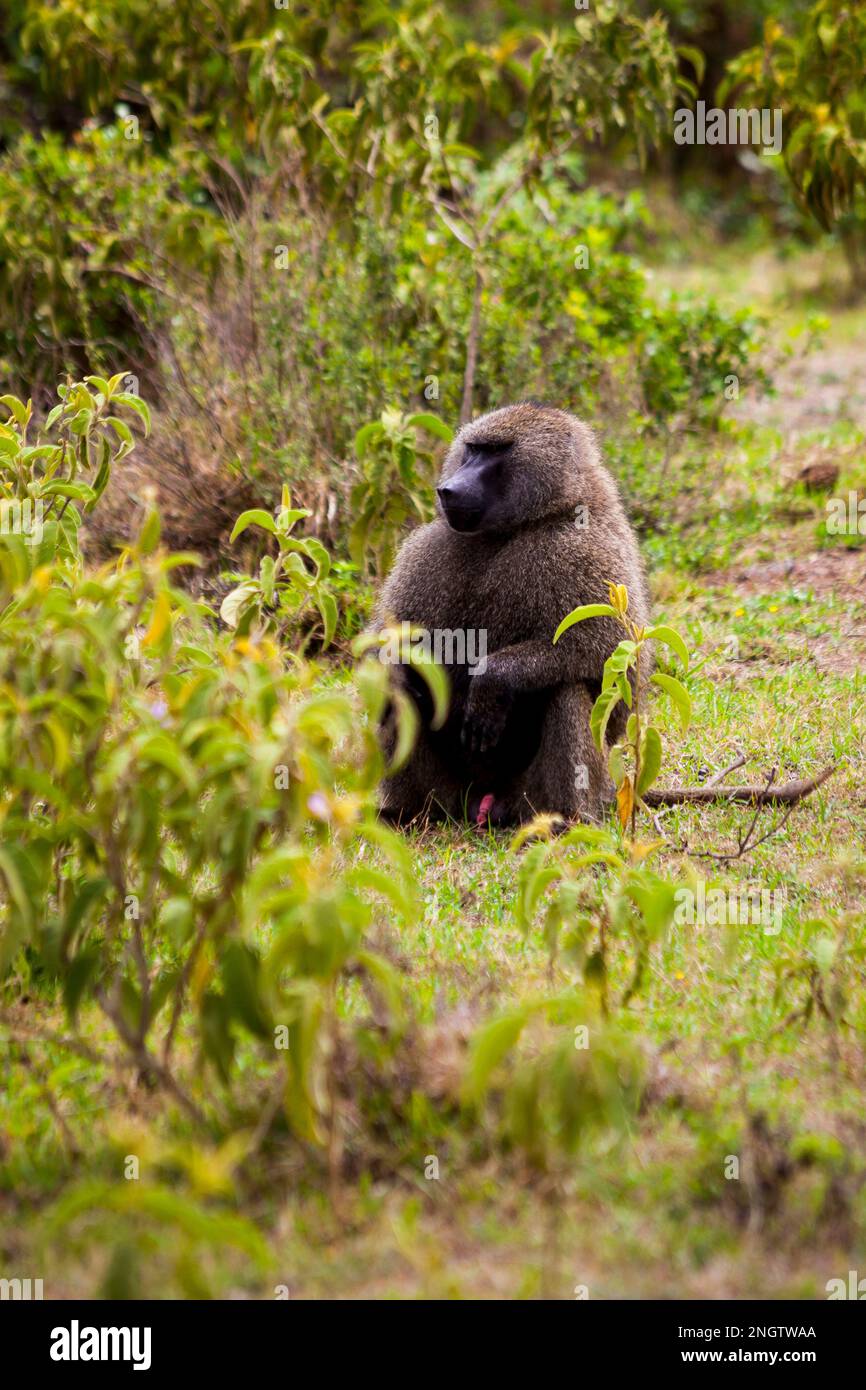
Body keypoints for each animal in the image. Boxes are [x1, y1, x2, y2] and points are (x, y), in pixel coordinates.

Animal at [370, 402, 651, 827]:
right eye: (471, 450)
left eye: (496, 452)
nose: (448, 489)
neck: (524, 525)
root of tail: (483, 802)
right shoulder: (427, 549)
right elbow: (384, 643)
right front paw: (393, 664)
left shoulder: (591, 549)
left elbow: (614, 657)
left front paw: (492, 680)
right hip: (449, 792)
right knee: (399, 690)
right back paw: (408, 815)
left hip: (535, 793)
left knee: (565, 691)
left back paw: (566, 820)